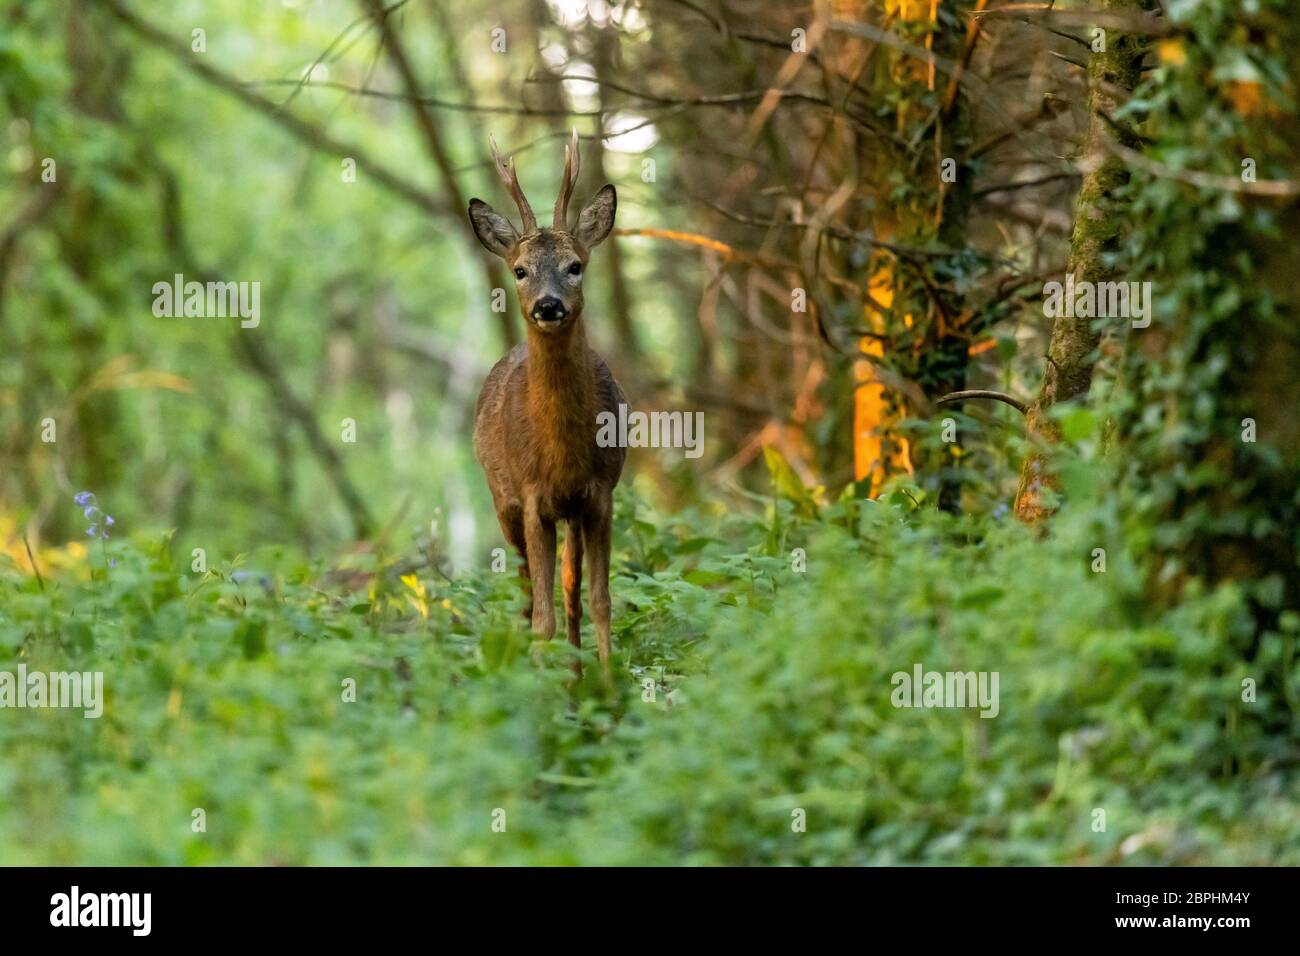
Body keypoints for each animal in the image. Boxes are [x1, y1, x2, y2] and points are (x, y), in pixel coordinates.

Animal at [468, 131, 626, 679]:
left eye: (575, 266)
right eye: (519, 270)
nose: (548, 305)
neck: (562, 453)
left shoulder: (599, 494)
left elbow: (598, 600)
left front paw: (609, 686)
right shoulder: (533, 497)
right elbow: (543, 618)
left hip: (569, 515)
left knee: (570, 591)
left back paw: (577, 677)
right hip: (502, 500)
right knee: (526, 596)